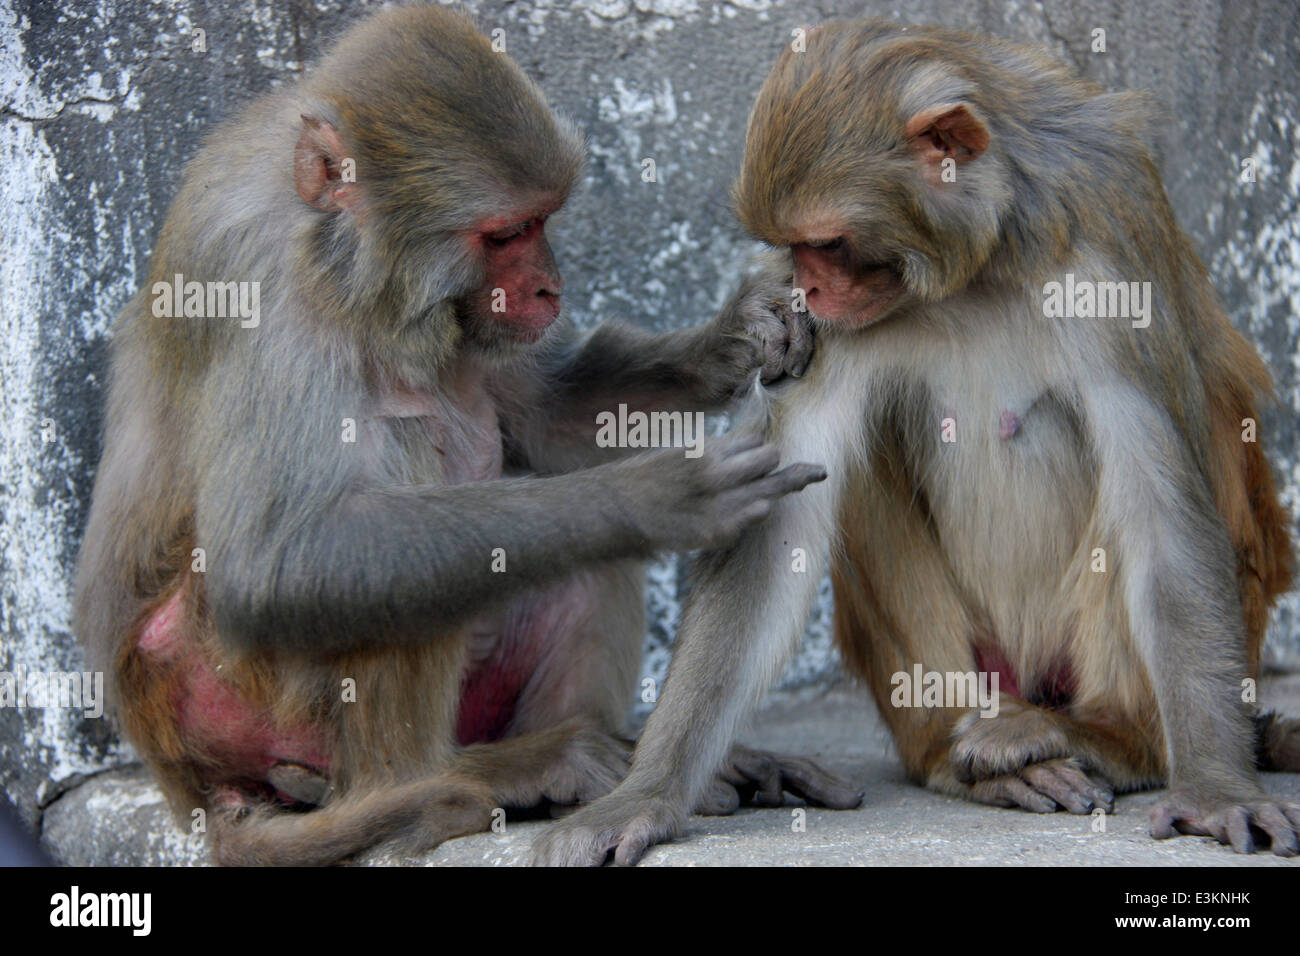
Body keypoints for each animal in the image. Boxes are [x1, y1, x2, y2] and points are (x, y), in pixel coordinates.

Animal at [73, 5, 860, 867]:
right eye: (506, 233)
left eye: (544, 221)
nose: (551, 288)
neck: (345, 261)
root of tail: (177, 775)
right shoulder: (256, 277)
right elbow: (269, 565)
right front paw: (656, 498)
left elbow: (547, 415)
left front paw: (738, 335)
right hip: (234, 695)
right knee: (384, 519)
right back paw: (484, 776)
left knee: (582, 568)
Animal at [532, 17, 1300, 866]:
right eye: (792, 248)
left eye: (829, 243)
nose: (807, 290)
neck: (981, 266)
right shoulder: (833, 328)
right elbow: (775, 526)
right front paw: (647, 794)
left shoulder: (1110, 245)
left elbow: (1163, 513)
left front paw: (1219, 790)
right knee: (864, 475)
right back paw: (956, 757)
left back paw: (1104, 736)